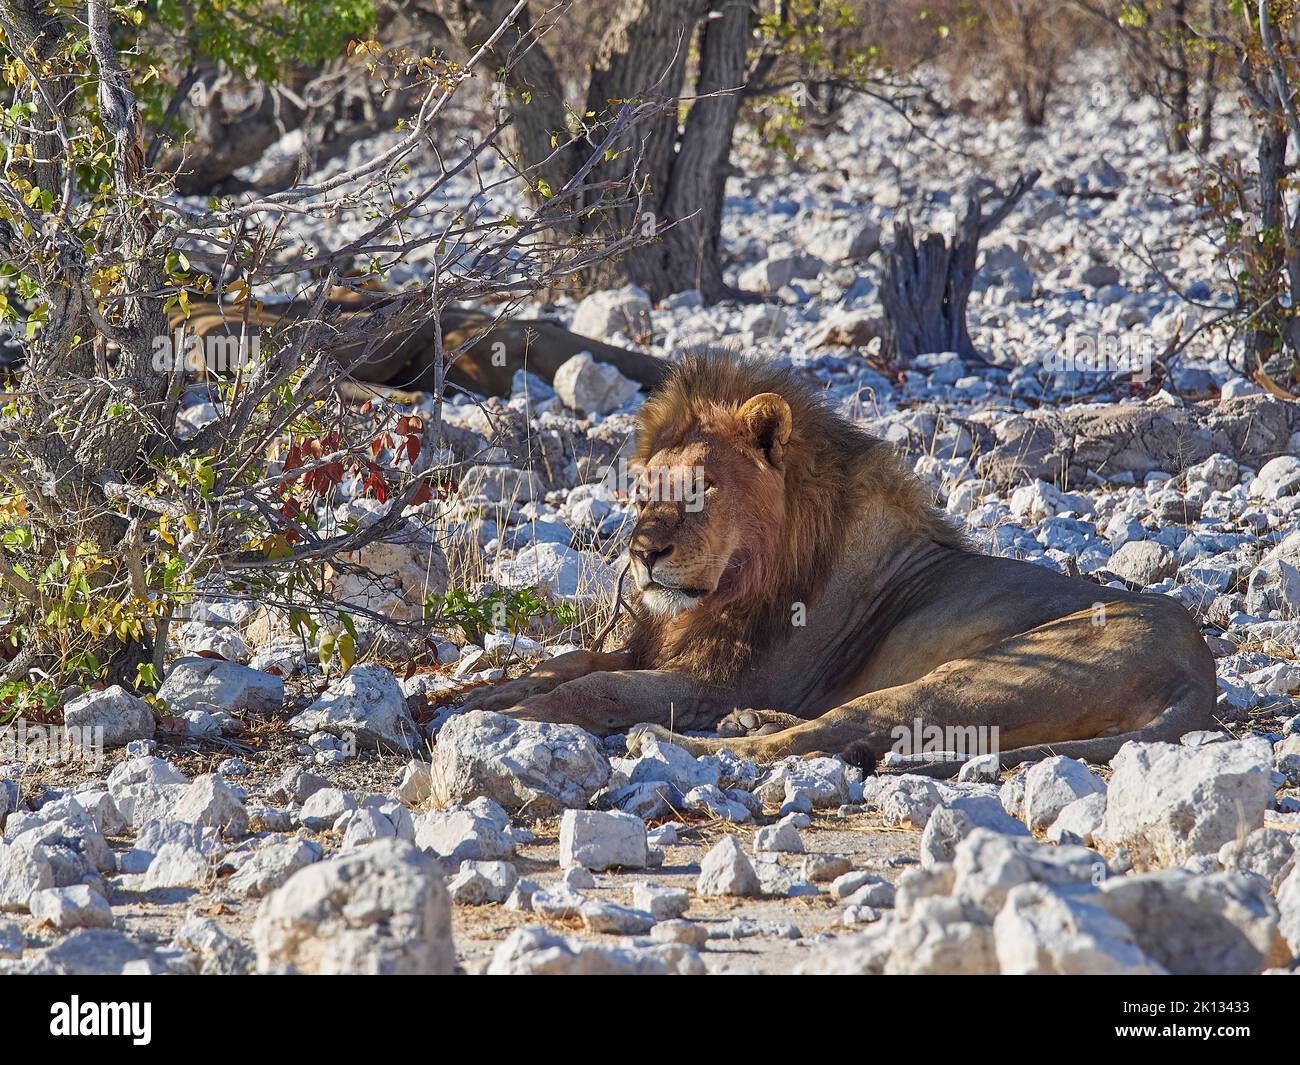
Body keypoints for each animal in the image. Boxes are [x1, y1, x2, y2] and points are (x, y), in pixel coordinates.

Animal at [460, 352, 1218, 774]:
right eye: (645, 489)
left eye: (704, 490)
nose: (644, 553)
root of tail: (1200, 667)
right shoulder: (665, 644)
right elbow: (573, 660)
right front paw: (474, 695)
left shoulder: (723, 679)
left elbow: (598, 688)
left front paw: (522, 718)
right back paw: (750, 724)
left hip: (976, 677)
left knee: (818, 738)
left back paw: (678, 744)